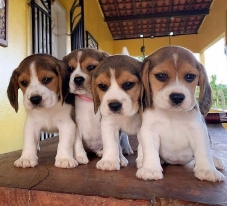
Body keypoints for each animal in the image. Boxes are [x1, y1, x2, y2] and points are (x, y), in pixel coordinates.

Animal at [137, 45, 225, 181]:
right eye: (160, 76)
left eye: (190, 76)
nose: (177, 97)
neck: (172, 115)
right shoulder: (149, 130)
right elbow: (150, 150)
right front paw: (150, 169)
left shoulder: (199, 130)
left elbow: (203, 151)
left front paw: (207, 170)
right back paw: (142, 160)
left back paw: (215, 160)